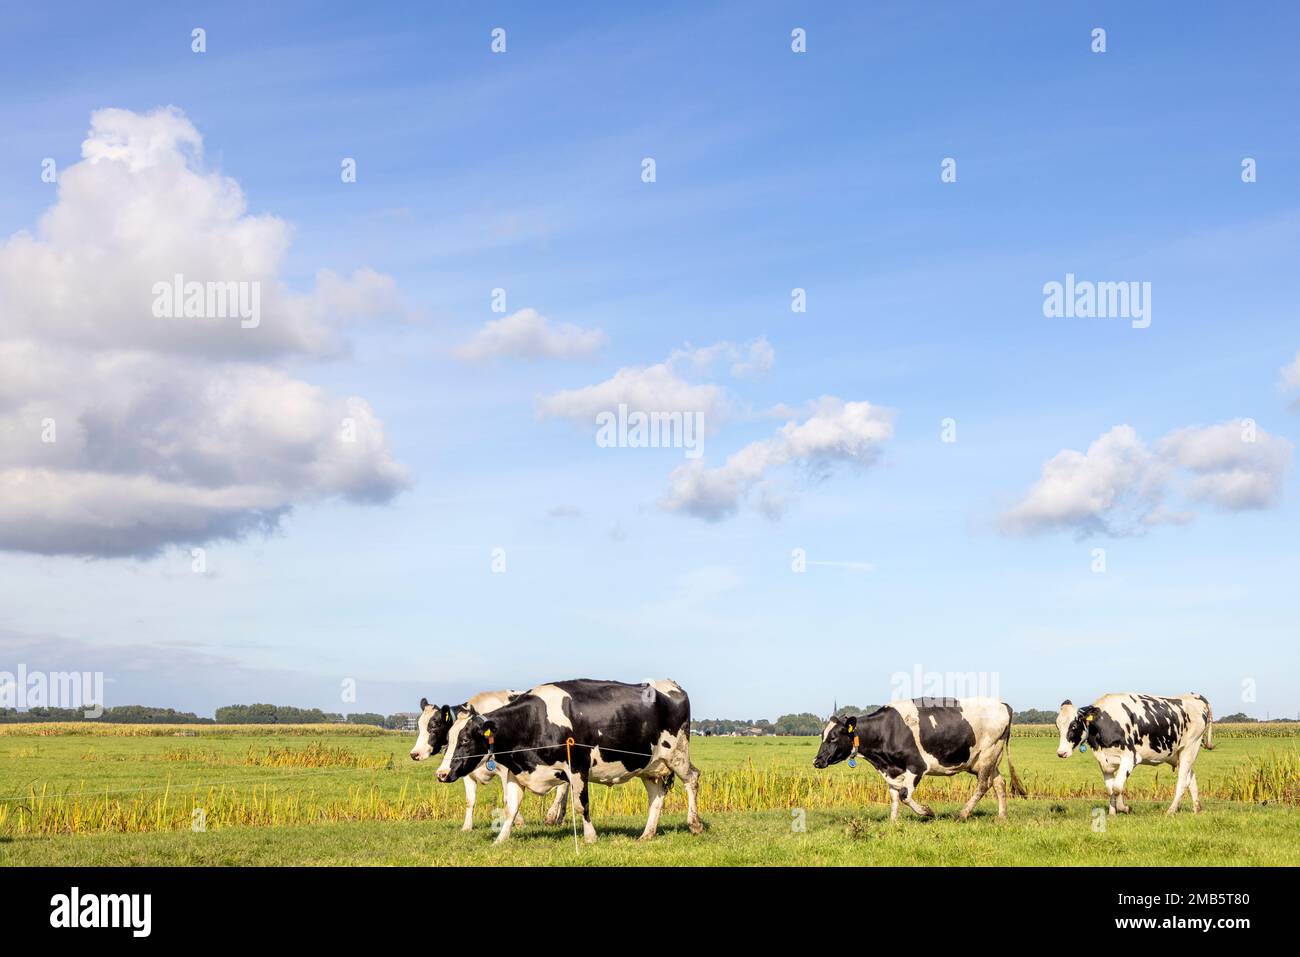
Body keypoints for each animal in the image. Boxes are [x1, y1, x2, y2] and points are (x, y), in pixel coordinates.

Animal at [409, 690, 567, 831]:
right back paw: (560, 819)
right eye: (418, 726)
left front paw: (519, 822)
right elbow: (470, 800)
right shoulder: (466, 771)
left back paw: (551, 817)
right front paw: (466, 827)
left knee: (562, 789)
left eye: (433, 726)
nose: (414, 754)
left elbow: (507, 798)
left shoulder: (506, 770)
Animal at [436, 678, 703, 844]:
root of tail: (672, 684)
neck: (534, 720)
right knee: (656, 796)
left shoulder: (578, 766)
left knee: (692, 779)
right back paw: (647, 834)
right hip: (648, 766)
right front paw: (500, 839)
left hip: (677, 754)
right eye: (448, 739)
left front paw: (590, 837)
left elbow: (581, 804)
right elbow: (511, 808)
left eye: (465, 740)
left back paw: (694, 824)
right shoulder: (516, 771)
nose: (441, 773)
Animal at [813, 697, 1027, 821]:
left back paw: (963, 814)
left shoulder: (916, 766)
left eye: (833, 737)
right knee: (999, 783)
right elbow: (894, 796)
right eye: (822, 735)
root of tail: (1002, 704)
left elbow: (904, 795)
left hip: (989, 752)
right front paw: (893, 822)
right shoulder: (891, 769)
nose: (817, 761)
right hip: (984, 759)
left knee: (983, 785)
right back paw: (1001, 817)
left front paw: (927, 812)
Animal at [1055, 693, 1214, 816]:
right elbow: (1111, 788)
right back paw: (1197, 809)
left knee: (1182, 781)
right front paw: (1112, 812)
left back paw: (1171, 810)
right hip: (1177, 754)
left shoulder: (1130, 757)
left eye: (1074, 726)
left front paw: (1124, 808)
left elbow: (1117, 787)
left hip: (1190, 747)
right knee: (1191, 777)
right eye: (1058, 726)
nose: (1061, 752)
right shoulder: (1104, 762)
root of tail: (1195, 696)